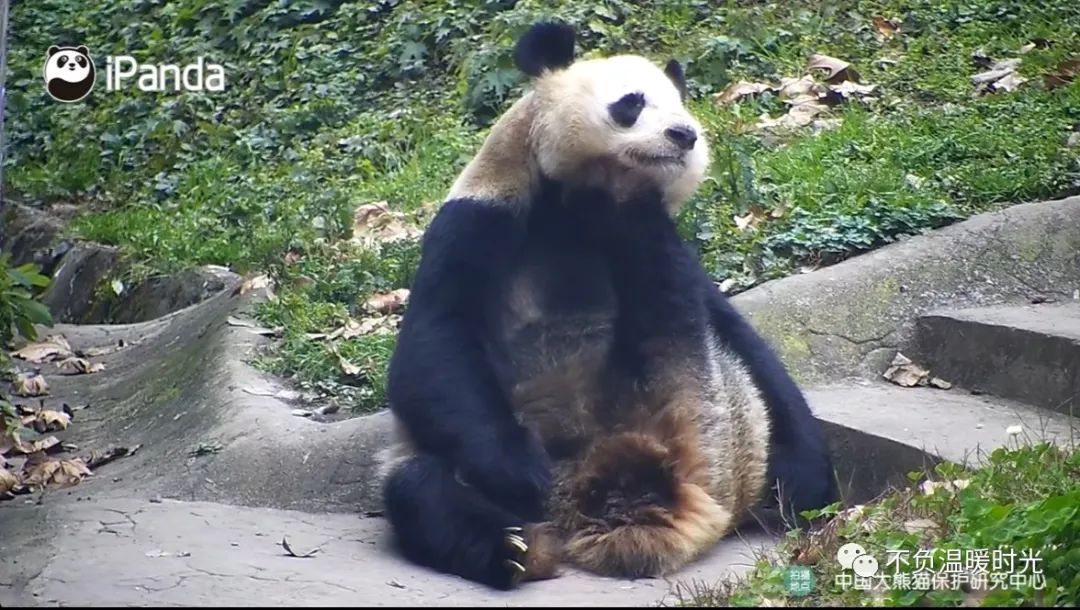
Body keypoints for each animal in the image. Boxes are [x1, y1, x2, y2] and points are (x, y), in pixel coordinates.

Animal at [376, 21, 837, 590]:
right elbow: (432, 347)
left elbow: (740, 333)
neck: (580, 203)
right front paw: (521, 469)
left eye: (681, 105)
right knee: (422, 488)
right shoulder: (480, 218)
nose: (685, 135)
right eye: (632, 103)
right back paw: (513, 548)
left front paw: (805, 477)